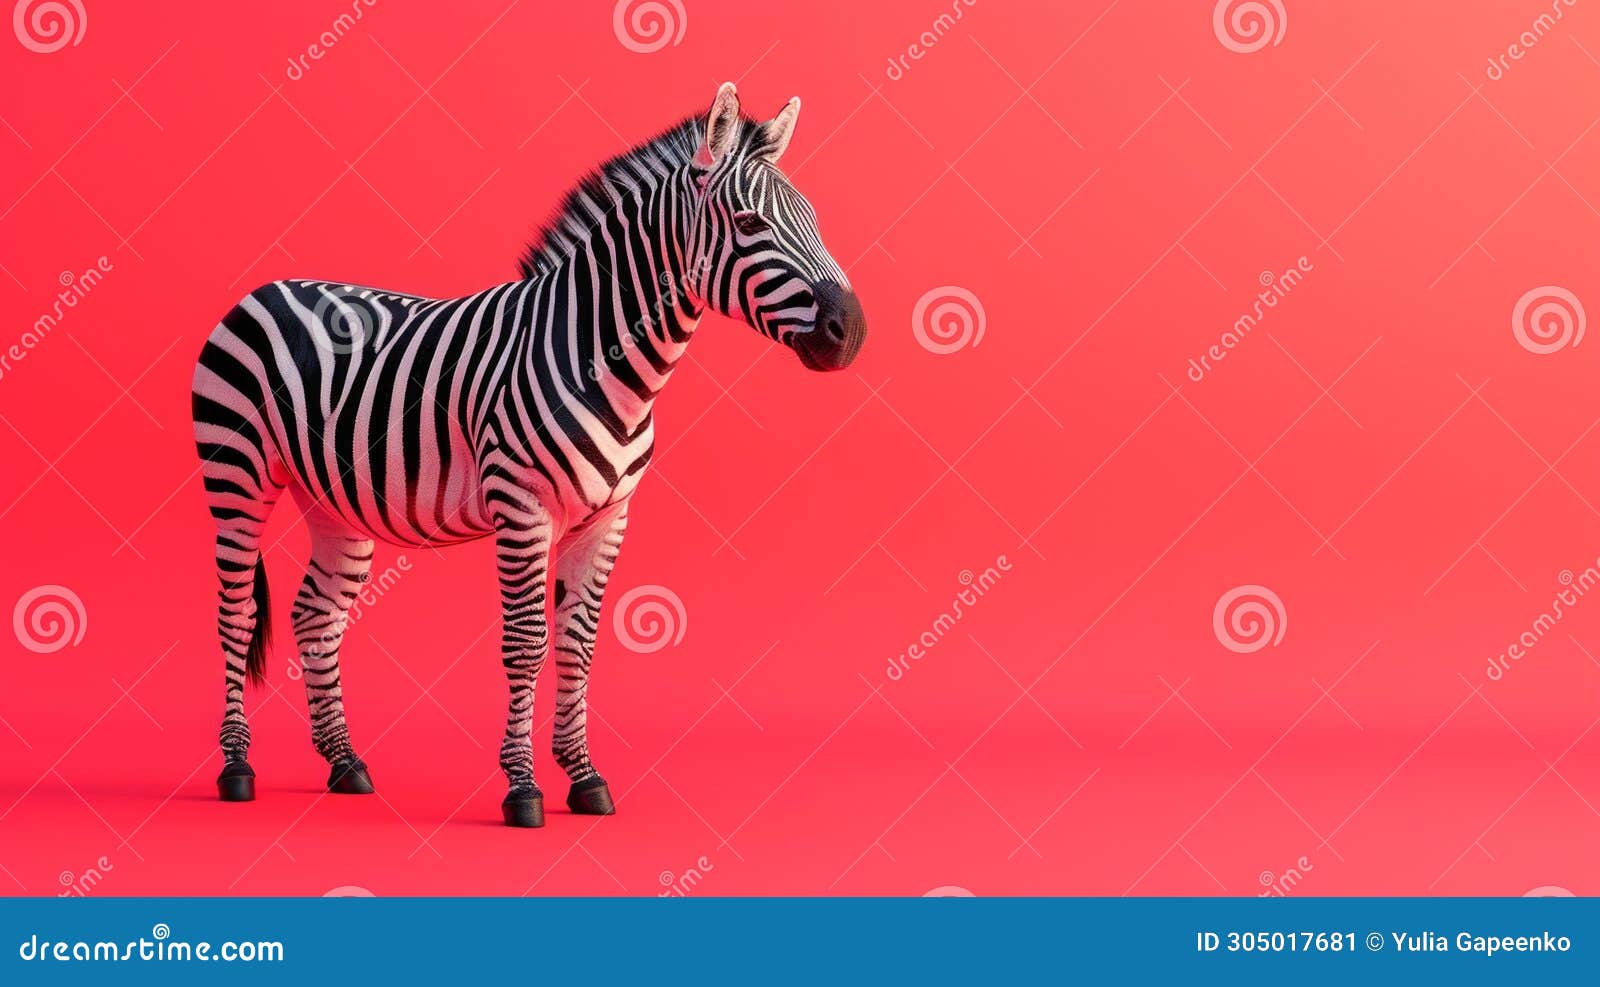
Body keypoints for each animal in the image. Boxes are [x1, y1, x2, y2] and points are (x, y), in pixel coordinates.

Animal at [191, 82, 866, 827]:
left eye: (813, 218)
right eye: (748, 223)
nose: (852, 331)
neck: (602, 358)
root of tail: (268, 288)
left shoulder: (608, 518)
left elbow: (578, 644)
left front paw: (584, 776)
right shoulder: (523, 509)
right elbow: (526, 644)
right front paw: (522, 787)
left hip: (334, 501)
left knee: (317, 613)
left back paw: (344, 762)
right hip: (236, 474)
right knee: (236, 616)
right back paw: (236, 768)